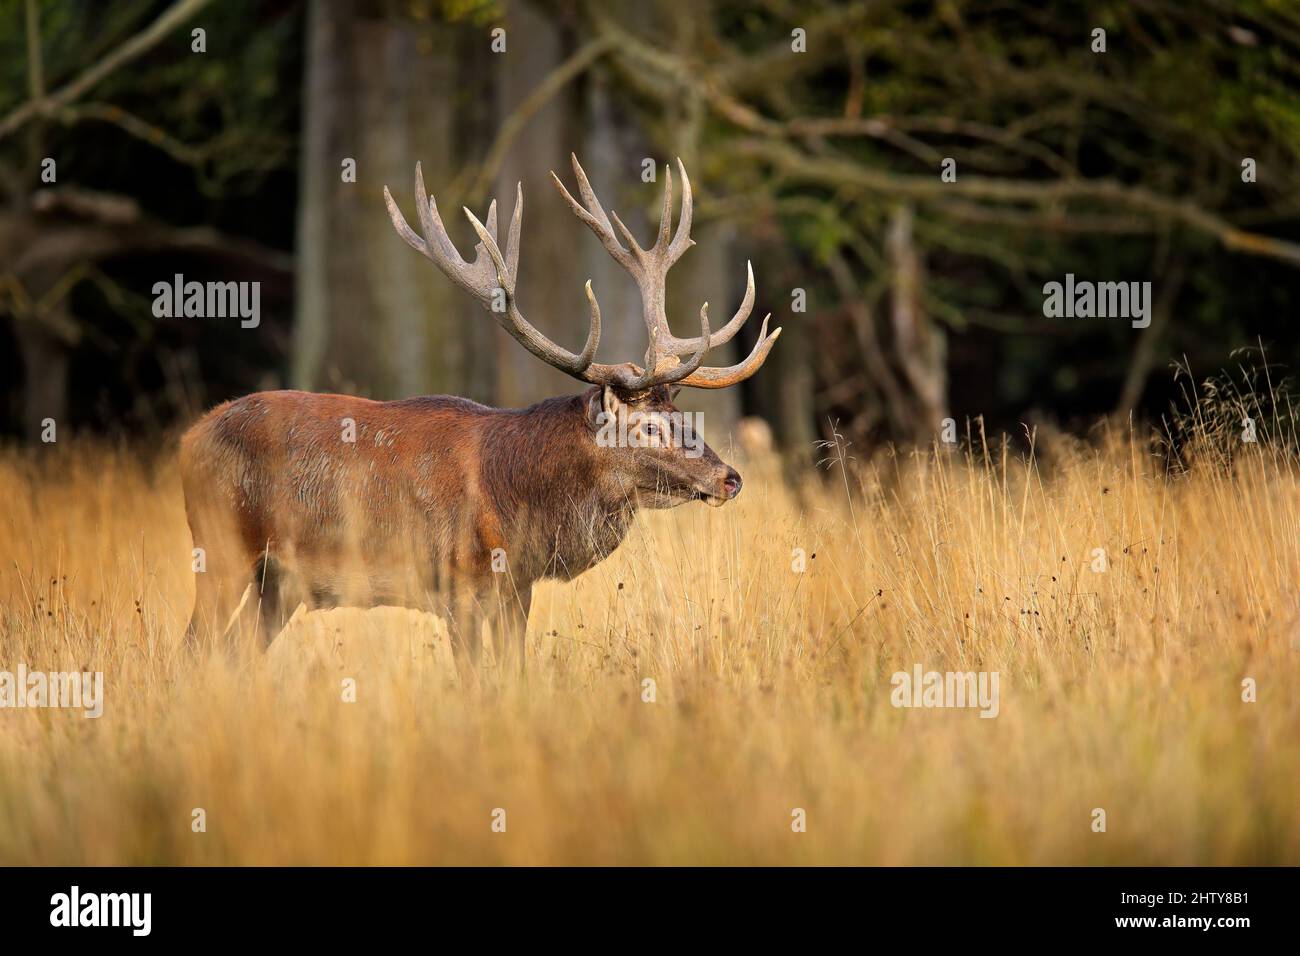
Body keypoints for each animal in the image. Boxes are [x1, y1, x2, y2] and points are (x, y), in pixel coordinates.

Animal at [179, 155, 780, 669]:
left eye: (685, 417)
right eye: (649, 426)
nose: (729, 478)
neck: (512, 497)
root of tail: (190, 439)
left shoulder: (517, 589)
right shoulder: (458, 585)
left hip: (279, 586)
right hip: (220, 547)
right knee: (194, 649)